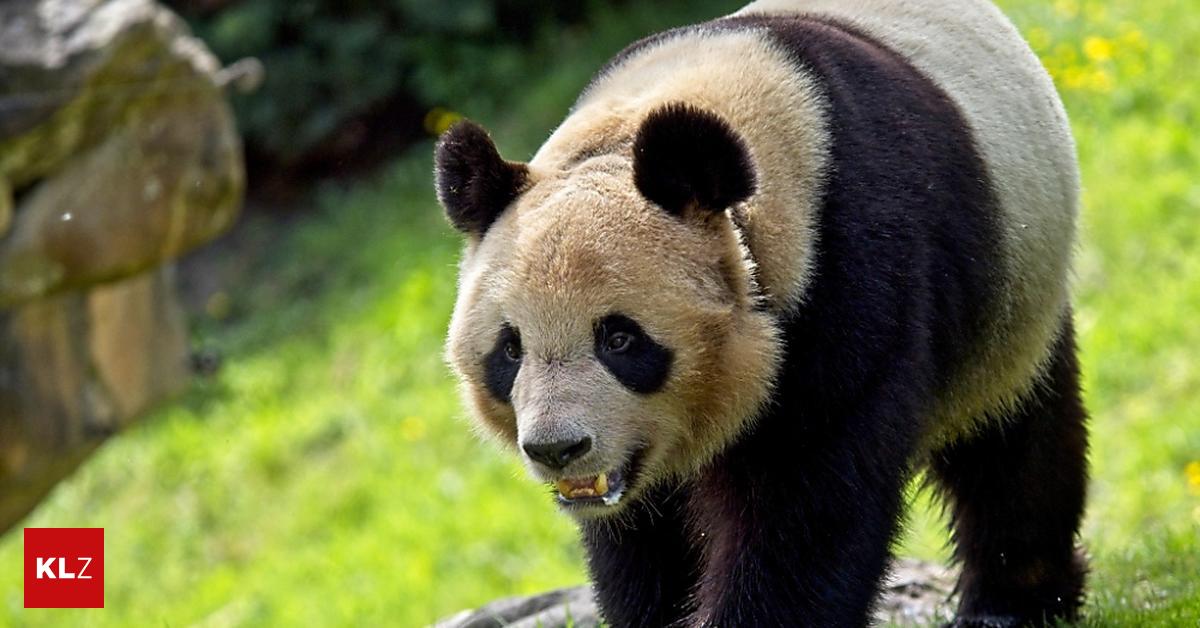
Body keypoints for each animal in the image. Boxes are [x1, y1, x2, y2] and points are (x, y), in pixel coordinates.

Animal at [434, 0, 1087, 625]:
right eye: (510, 348)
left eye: (619, 339)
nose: (556, 448)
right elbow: (642, 540)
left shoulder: (845, 274)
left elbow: (809, 503)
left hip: (1012, 292)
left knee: (1012, 443)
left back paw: (1011, 602)